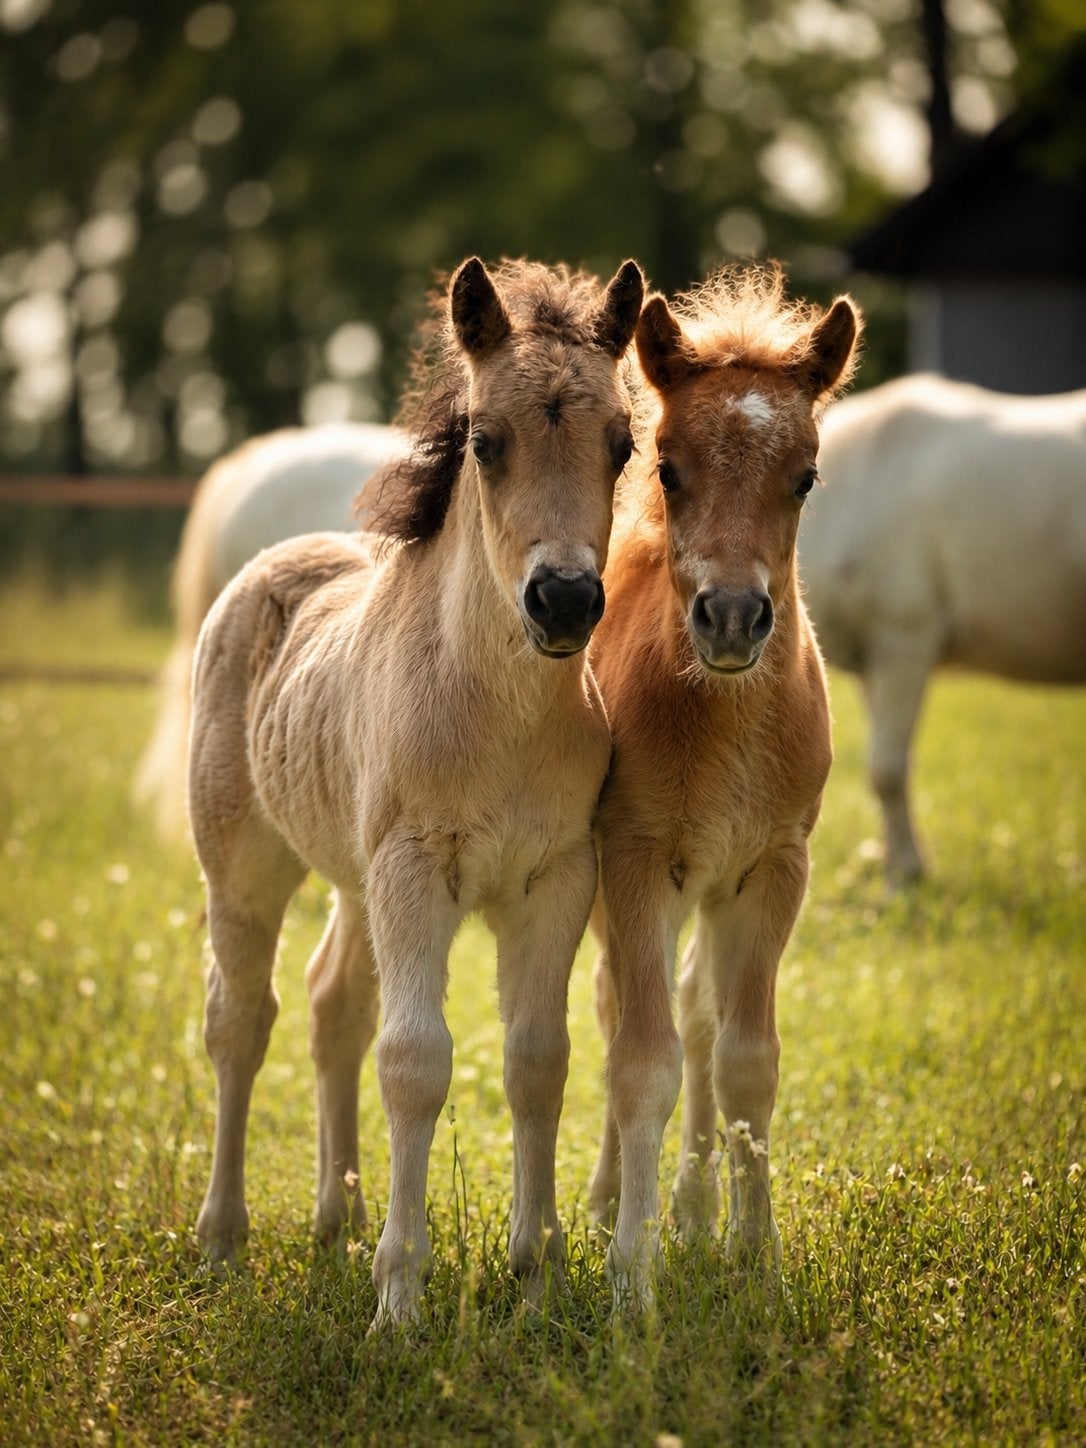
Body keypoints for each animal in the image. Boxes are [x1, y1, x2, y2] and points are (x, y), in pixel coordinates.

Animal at [188, 255, 645, 1326]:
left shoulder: (556, 879)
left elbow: (537, 1060)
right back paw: (223, 1240)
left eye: (624, 445)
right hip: (246, 872)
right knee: (241, 1020)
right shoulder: (413, 872)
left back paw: (338, 1221)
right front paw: (399, 1299)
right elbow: (416, 1062)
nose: (566, 600)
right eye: (485, 441)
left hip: (355, 884)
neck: (498, 716)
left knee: (333, 1007)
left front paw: (536, 1279)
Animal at [586, 266, 861, 1308]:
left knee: (699, 1014)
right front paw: (631, 1284)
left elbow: (746, 1061)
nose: (734, 617)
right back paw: (609, 1203)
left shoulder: (774, 867)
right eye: (666, 467)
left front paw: (759, 1262)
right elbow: (641, 1063)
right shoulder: (633, 863)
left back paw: (697, 1212)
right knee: (619, 1012)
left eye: (807, 476)